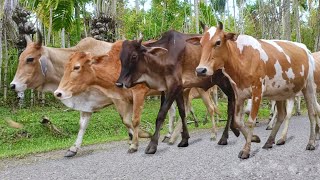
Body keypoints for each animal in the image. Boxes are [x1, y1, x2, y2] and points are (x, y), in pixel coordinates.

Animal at [116, 30, 249, 154]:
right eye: (120, 57)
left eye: (134, 56)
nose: (119, 84)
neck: (165, 56)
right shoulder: (175, 89)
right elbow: (182, 112)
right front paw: (184, 139)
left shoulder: (174, 86)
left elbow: (161, 114)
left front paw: (152, 145)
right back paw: (234, 129)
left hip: (225, 81)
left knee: (231, 103)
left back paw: (225, 137)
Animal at [190, 22, 320, 159]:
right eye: (201, 43)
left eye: (218, 42)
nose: (200, 70)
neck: (241, 58)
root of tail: (305, 48)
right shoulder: (239, 94)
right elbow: (237, 121)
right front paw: (254, 138)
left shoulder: (257, 92)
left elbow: (250, 122)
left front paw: (246, 149)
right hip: (280, 92)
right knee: (282, 115)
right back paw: (270, 141)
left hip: (309, 88)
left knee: (312, 113)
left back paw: (311, 142)